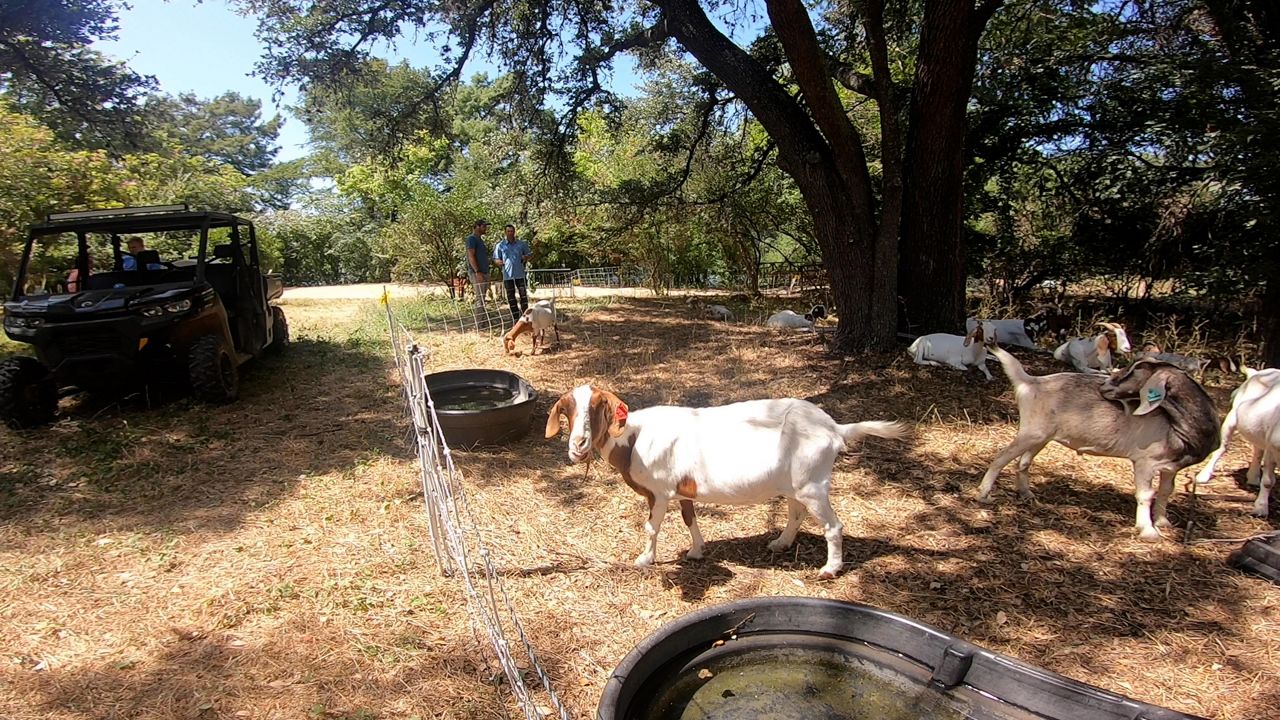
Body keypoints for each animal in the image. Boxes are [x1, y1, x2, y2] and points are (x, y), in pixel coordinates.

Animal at [545, 385, 905, 578]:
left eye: (598, 406)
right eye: (566, 409)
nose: (578, 445)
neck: (633, 438)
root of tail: (835, 429)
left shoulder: (660, 491)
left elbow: (651, 527)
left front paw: (645, 560)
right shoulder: (682, 490)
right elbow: (689, 518)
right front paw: (696, 551)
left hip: (813, 484)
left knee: (833, 525)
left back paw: (830, 568)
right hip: (795, 484)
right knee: (795, 513)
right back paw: (780, 543)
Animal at [978, 347, 1219, 540]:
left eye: (1136, 371)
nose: (1104, 385)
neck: (1176, 425)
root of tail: (1032, 382)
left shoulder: (1171, 467)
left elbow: (1166, 491)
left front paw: (1162, 522)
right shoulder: (1145, 461)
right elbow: (1146, 494)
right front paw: (1148, 531)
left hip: (1043, 435)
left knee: (1023, 462)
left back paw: (1026, 494)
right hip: (1032, 431)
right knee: (1001, 457)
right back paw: (983, 494)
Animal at [1193, 368, 1280, 517]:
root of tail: (1256, 373)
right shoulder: (1272, 447)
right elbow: (1268, 481)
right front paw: (1261, 508)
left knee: (1258, 449)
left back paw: (1253, 477)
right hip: (1232, 417)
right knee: (1221, 448)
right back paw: (1203, 476)